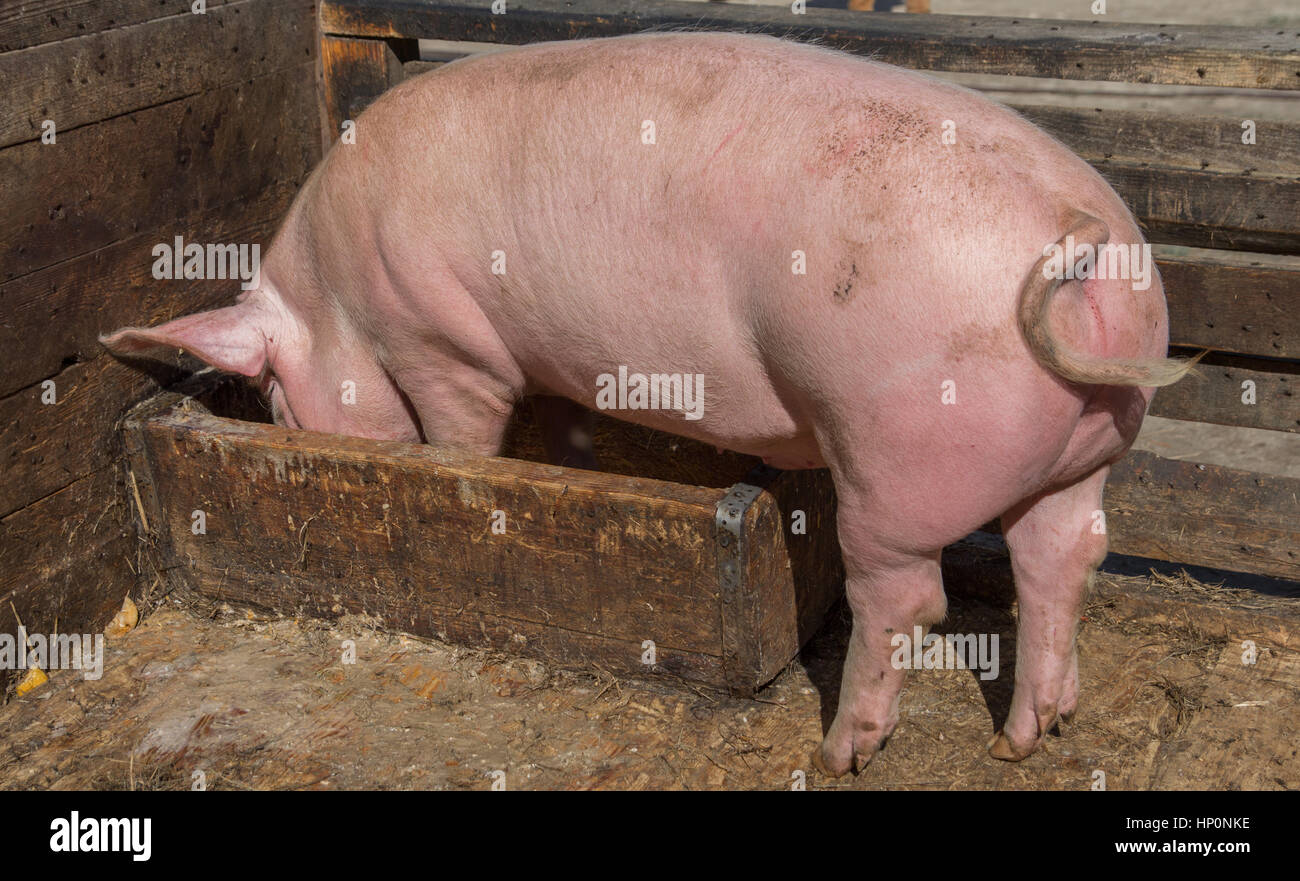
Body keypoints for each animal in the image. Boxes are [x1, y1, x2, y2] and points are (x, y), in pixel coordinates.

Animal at [103, 32, 1196, 777]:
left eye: (274, 395)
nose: (294, 429)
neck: (338, 285)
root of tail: (1082, 228)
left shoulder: (444, 344)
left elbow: (464, 435)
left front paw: (459, 475)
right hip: (1087, 448)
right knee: (1062, 558)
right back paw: (1029, 736)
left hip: (894, 449)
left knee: (907, 599)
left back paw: (839, 752)